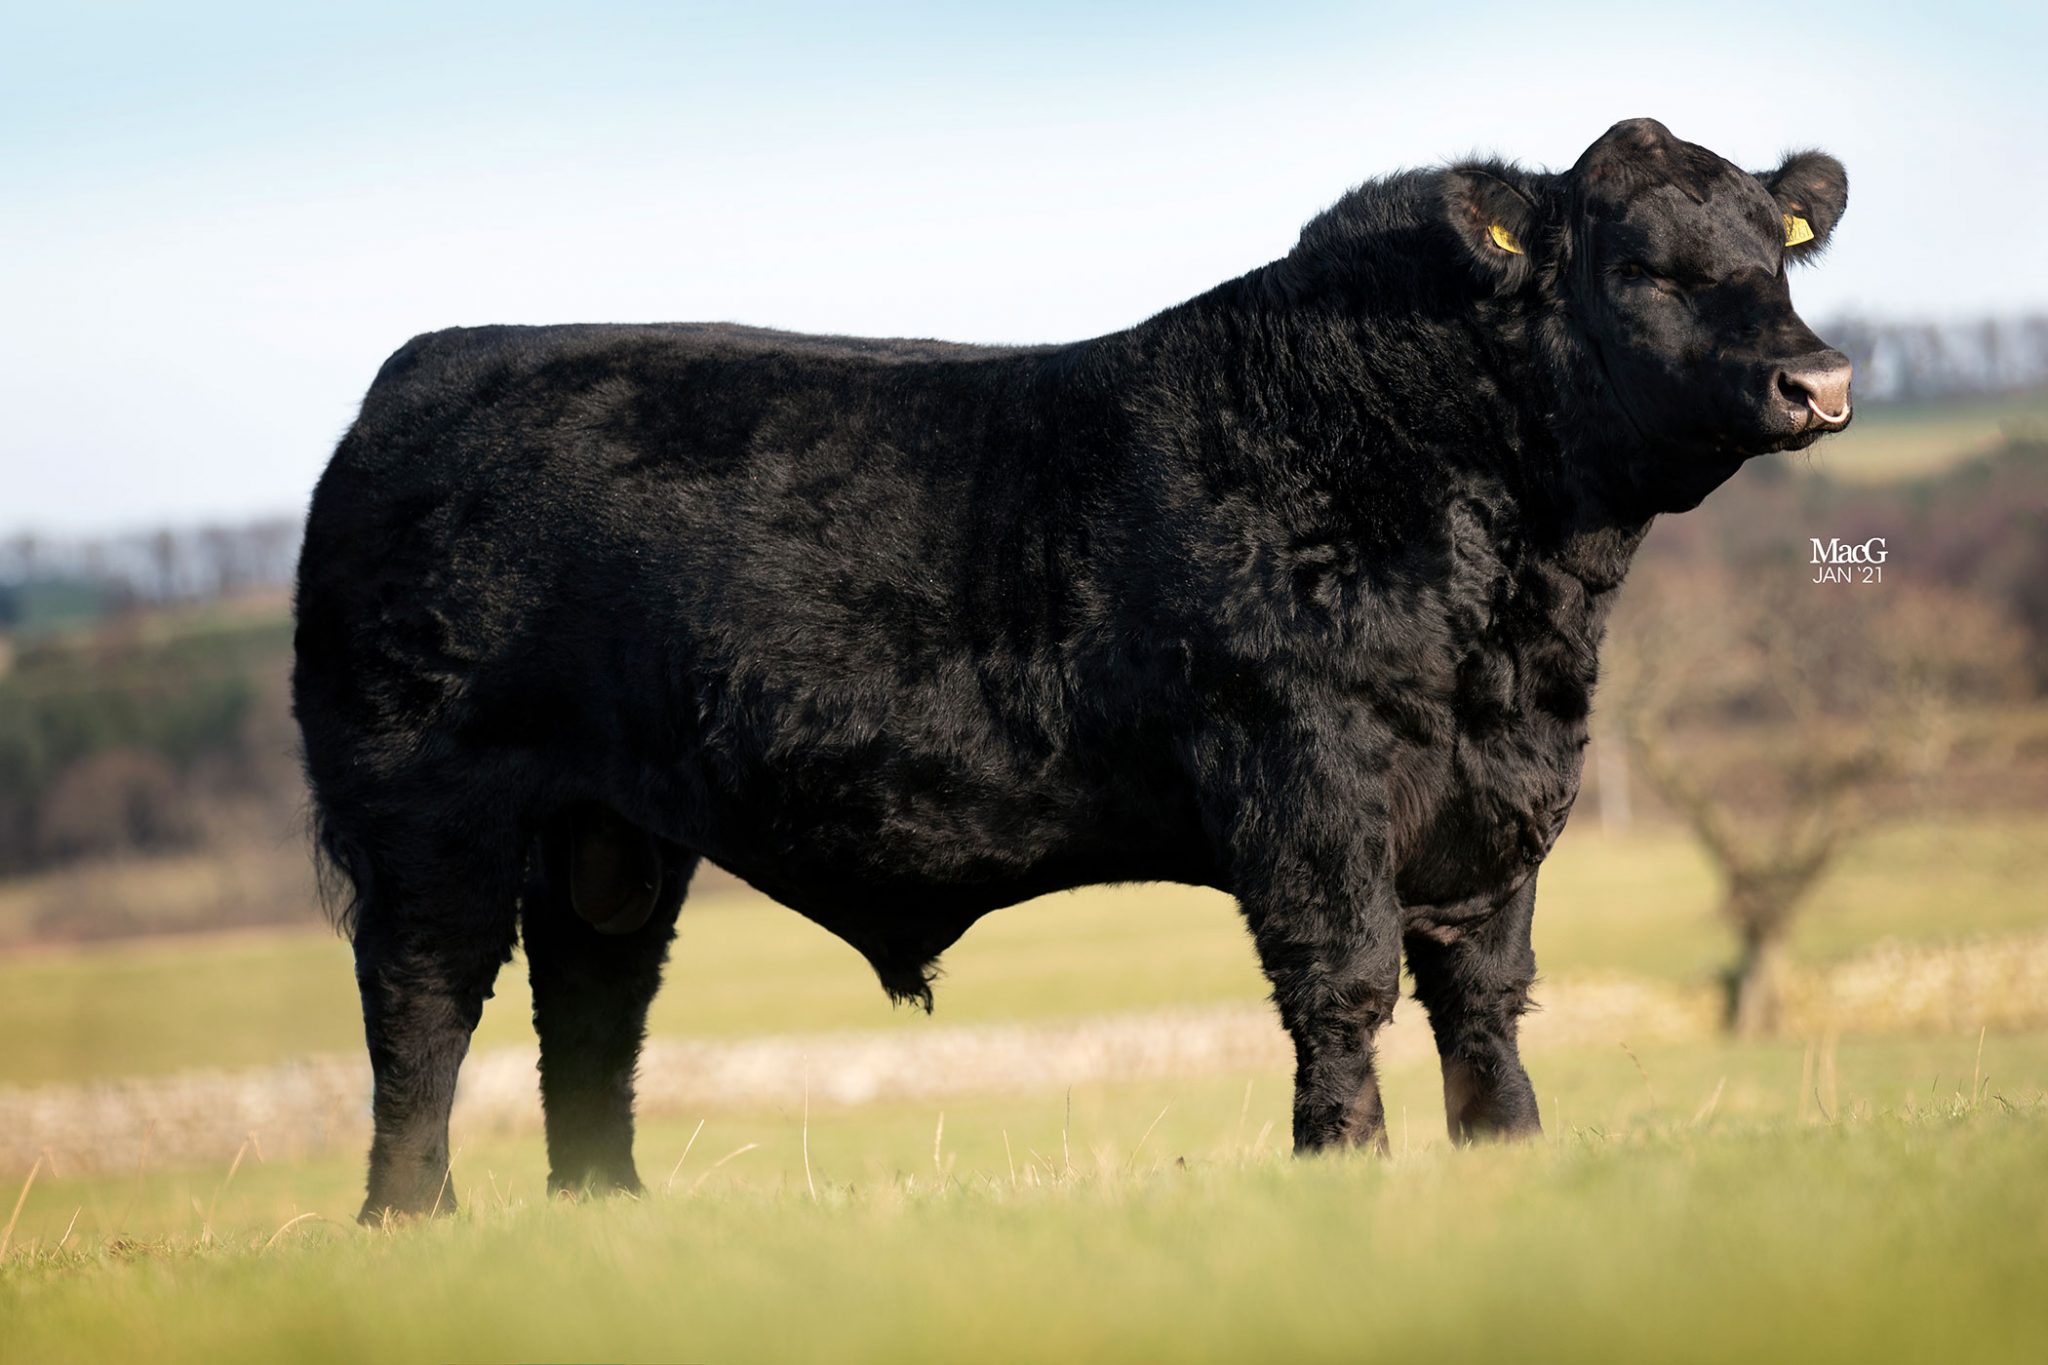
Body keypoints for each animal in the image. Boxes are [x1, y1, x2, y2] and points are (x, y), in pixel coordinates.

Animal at [293, 117, 1853, 1220]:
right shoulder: (1307, 783)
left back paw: (604, 1214)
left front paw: (1510, 1157)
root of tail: (426, 370)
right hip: (429, 804)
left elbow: (1485, 992)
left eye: (1773, 252)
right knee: (421, 1004)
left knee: (592, 1007)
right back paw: (409, 1220)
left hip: (607, 829)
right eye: (1638, 265)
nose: (1819, 380)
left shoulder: (1497, 797)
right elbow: (1343, 982)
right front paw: (1341, 1167)